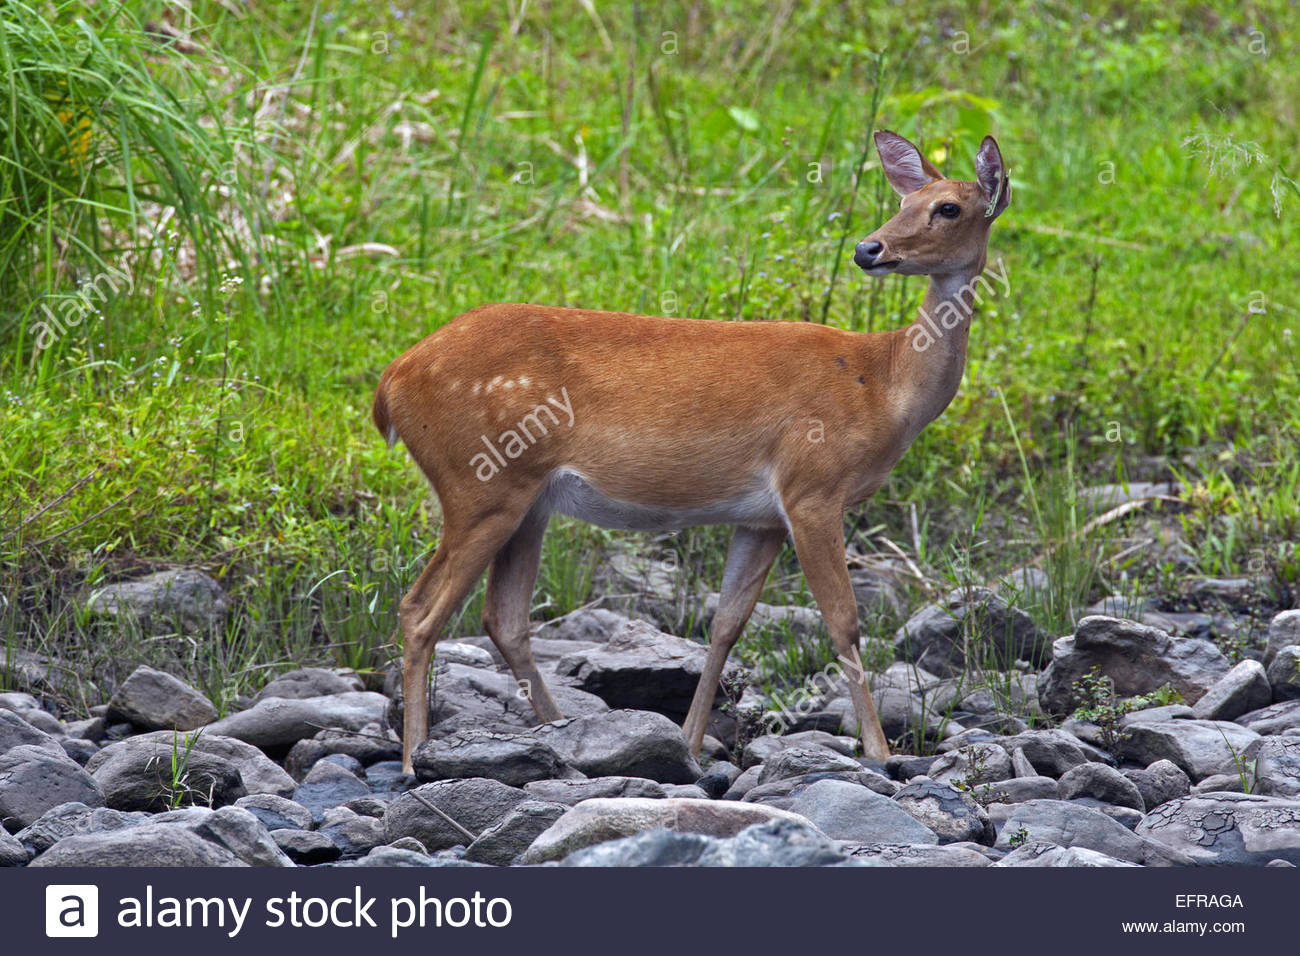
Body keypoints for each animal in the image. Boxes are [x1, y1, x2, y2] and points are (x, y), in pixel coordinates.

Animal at [373, 130, 1011, 774]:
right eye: (908, 202)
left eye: (946, 207)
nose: (867, 248)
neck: (881, 386)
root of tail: (392, 381)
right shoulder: (812, 486)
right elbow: (844, 623)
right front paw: (880, 752)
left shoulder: (762, 518)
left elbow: (726, 625)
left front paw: (693, 741)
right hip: (479, 481)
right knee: (420, 611)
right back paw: (414, 761)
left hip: (528, 501)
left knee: (502, 618)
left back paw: (558, 733)